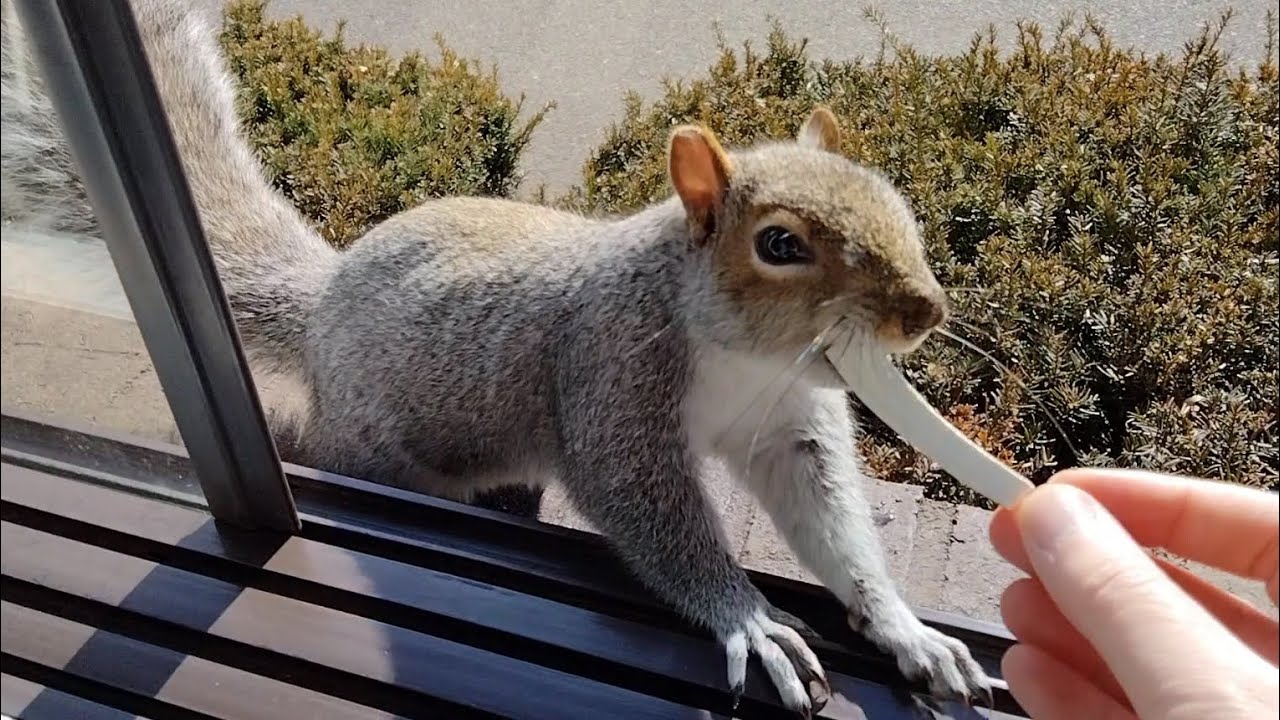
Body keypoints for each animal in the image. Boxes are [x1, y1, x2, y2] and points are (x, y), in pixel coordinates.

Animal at [2, 0, 992, 713]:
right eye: (780, 245)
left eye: (890, 196)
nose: (925, 311)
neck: (750, 362)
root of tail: (325, 304)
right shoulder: (610, 374)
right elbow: (649, 512)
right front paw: (751, 620)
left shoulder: (789, 428)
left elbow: (833, 522)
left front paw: (907, 629)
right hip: (380, 443)